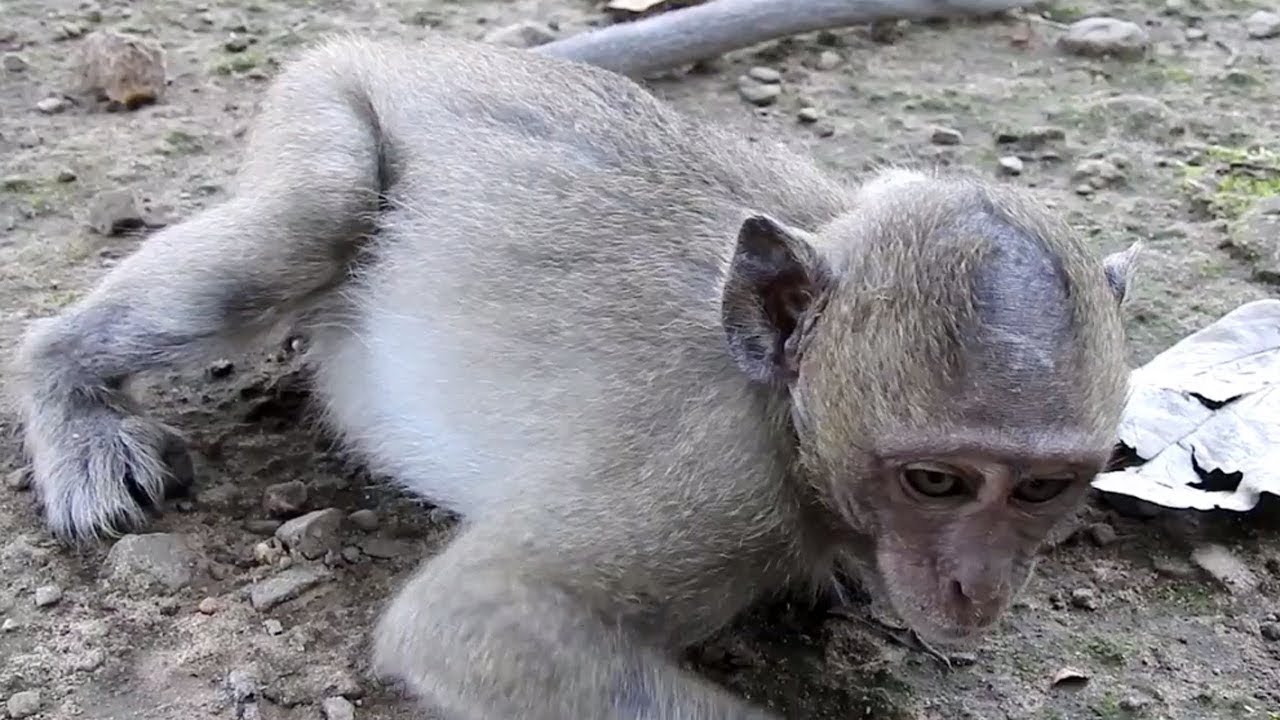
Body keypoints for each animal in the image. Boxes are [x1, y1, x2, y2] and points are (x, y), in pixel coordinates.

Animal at [8, 30, 1141, 720]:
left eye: (1040, 490)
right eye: (935, 482)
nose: (978, 586)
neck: (784, 408)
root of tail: (413, 49)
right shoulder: (715, 489)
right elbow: (477, 620)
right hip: (322, 106)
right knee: (310, 218)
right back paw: (63, 384)